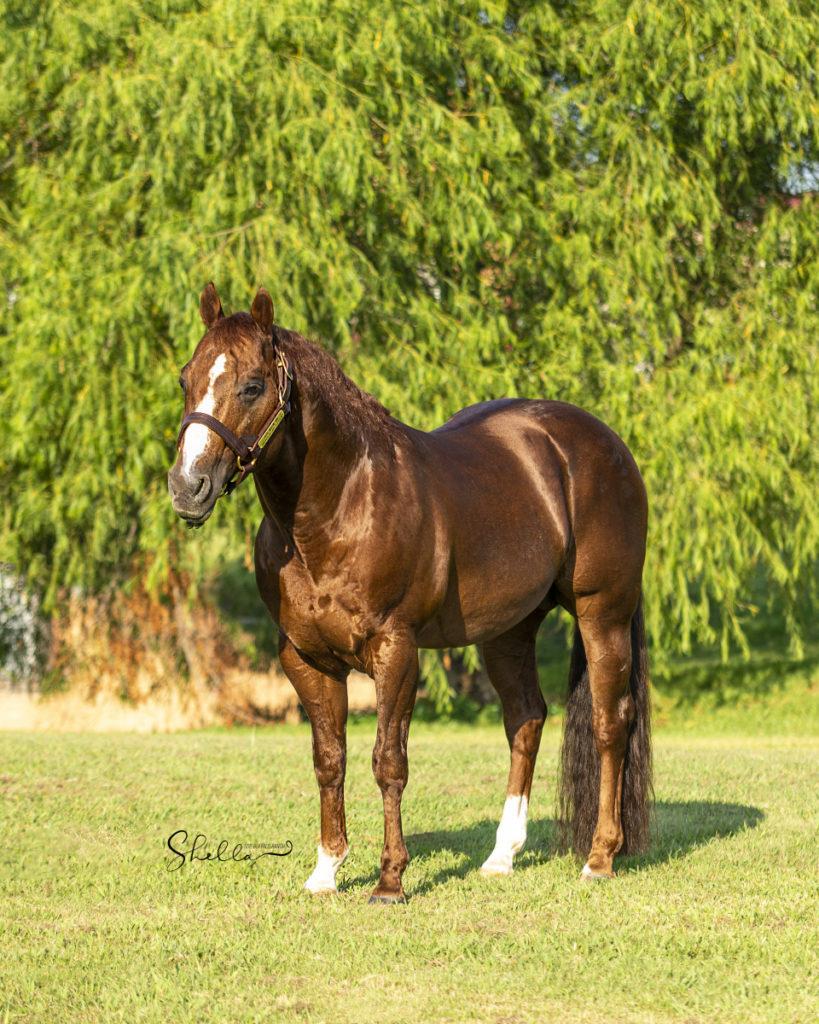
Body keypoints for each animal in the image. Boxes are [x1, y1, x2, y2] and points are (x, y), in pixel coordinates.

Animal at [168, 283, 652, 904]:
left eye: (252, 385)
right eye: (187, 378)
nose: (188, 488)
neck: (339, 507)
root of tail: (604, 442)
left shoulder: (395, 650)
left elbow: (387, 761)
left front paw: (390, 879)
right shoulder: (305, 659)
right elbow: (330, 759)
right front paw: (326, 871)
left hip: (603, 613)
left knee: (610, 722)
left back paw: (600, 857)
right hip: (508, 631)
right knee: (526, 719)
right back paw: (501, 856)